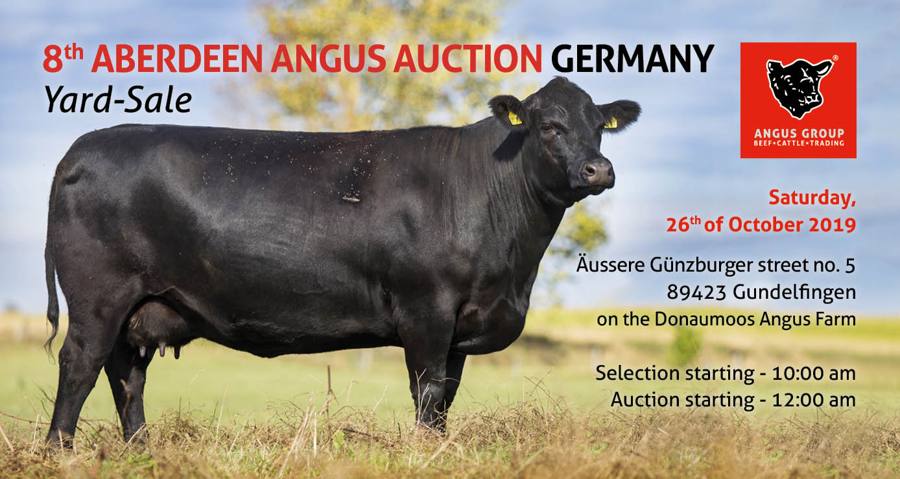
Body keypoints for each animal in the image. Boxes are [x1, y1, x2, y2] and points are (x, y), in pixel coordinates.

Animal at [43, 77, 640, 445]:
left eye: (599, 126)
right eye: (549, 126)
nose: (599, 169)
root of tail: (81, 148)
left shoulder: (461, 323)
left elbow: (447, 396)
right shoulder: (427, 310)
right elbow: (427, 393)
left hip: (139, 307)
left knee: (127, 375)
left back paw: (142, 451)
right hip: (99, 297)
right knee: (80, 365)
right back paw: (58, 452)